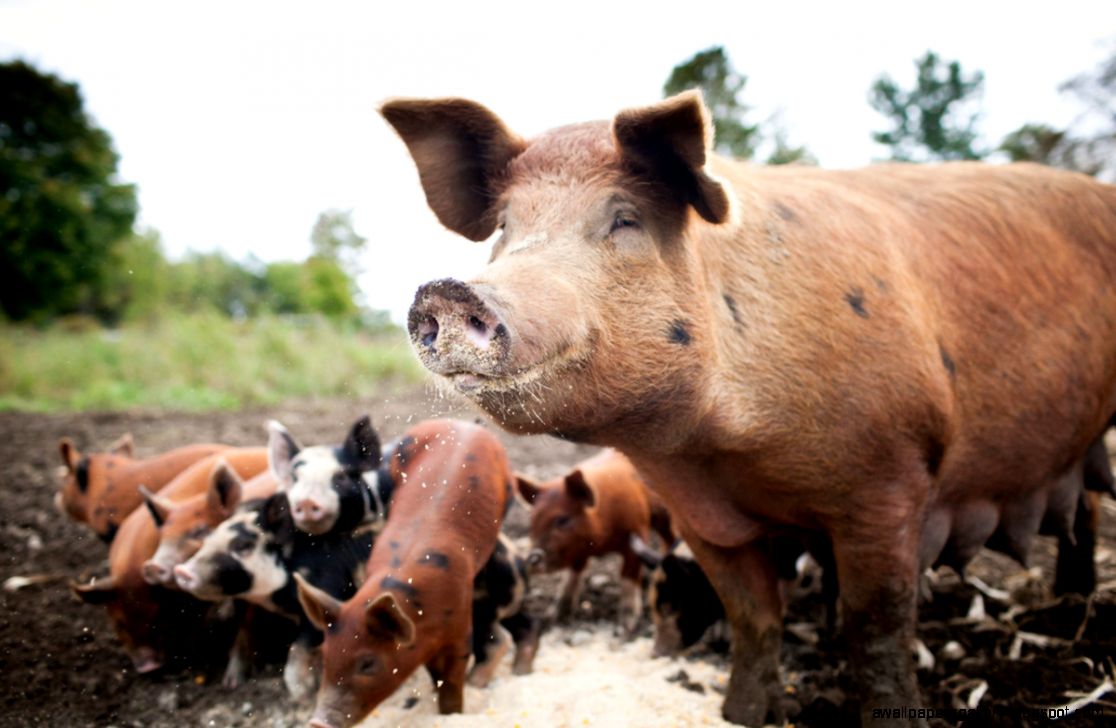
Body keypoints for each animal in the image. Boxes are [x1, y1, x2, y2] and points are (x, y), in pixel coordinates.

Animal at [173, 488, 373, 699]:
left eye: (242, 545)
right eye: (207, 540)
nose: (181, 571)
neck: (273, 599)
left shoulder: (328, 590)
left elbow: (298, 648)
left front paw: (302, 694)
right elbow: (241, 633)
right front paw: (231, 684)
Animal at [295, 419, 512, 727]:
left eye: (368, 663)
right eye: (325, 656)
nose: (317, 722)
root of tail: (463, 423)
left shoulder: (460, 628)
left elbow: (452, 682)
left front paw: (452, 713)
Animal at [515, 448, 673, 635]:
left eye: (562, 520)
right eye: (532, 520)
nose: (532, 557)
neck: (601, 543)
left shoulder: (639, 531)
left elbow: (628, 576)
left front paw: (627, 626)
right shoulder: (577, 550)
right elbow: (572, 577)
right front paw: (554, 617)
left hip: (666, 516)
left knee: (669, 539)